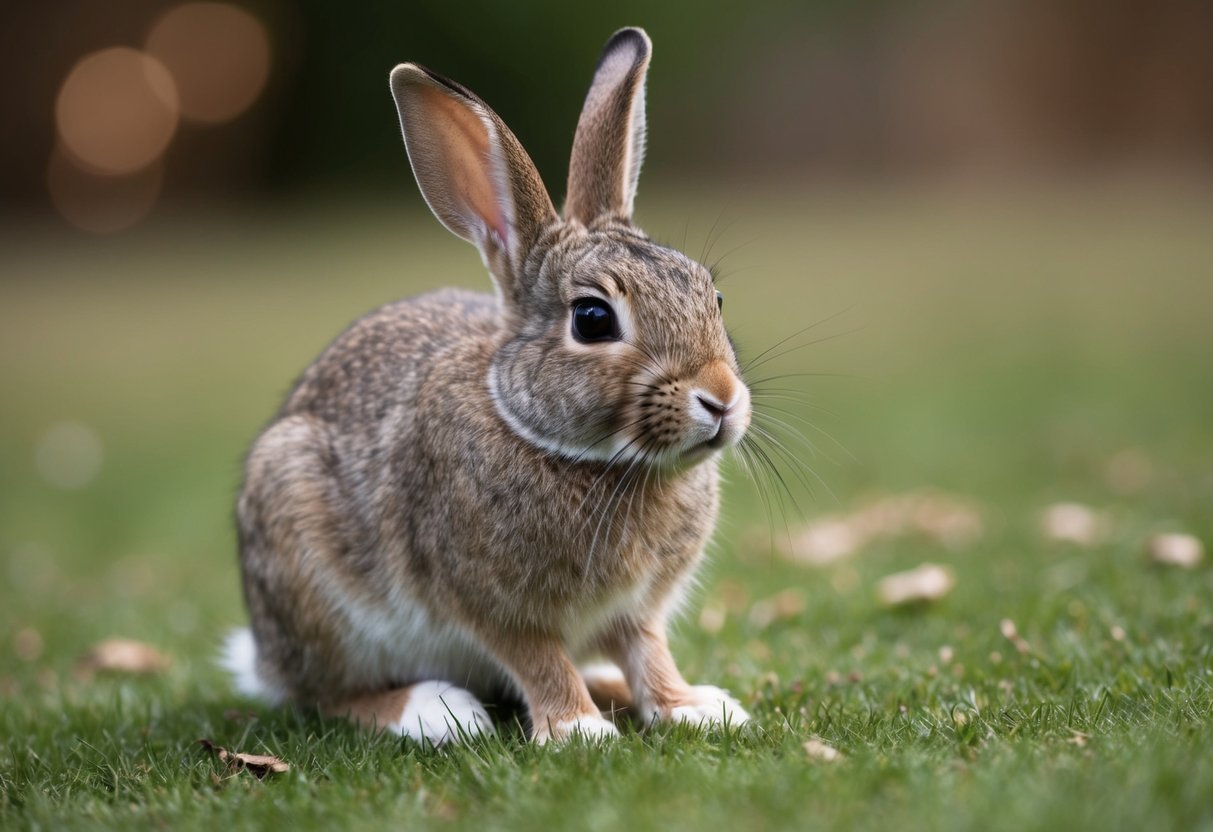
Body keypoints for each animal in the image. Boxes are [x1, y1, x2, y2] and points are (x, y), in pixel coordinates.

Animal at [223, 26, 753, 745]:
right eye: (592, 320)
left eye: (713, 297)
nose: (721, 399)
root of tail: (265, 658)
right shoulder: (489, 604)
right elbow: (537, 659)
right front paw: (576, 730)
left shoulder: (634, 612)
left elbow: (648, 650)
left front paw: (693, 708)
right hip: (309, 573)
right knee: (328, 696)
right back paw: (435, 711)